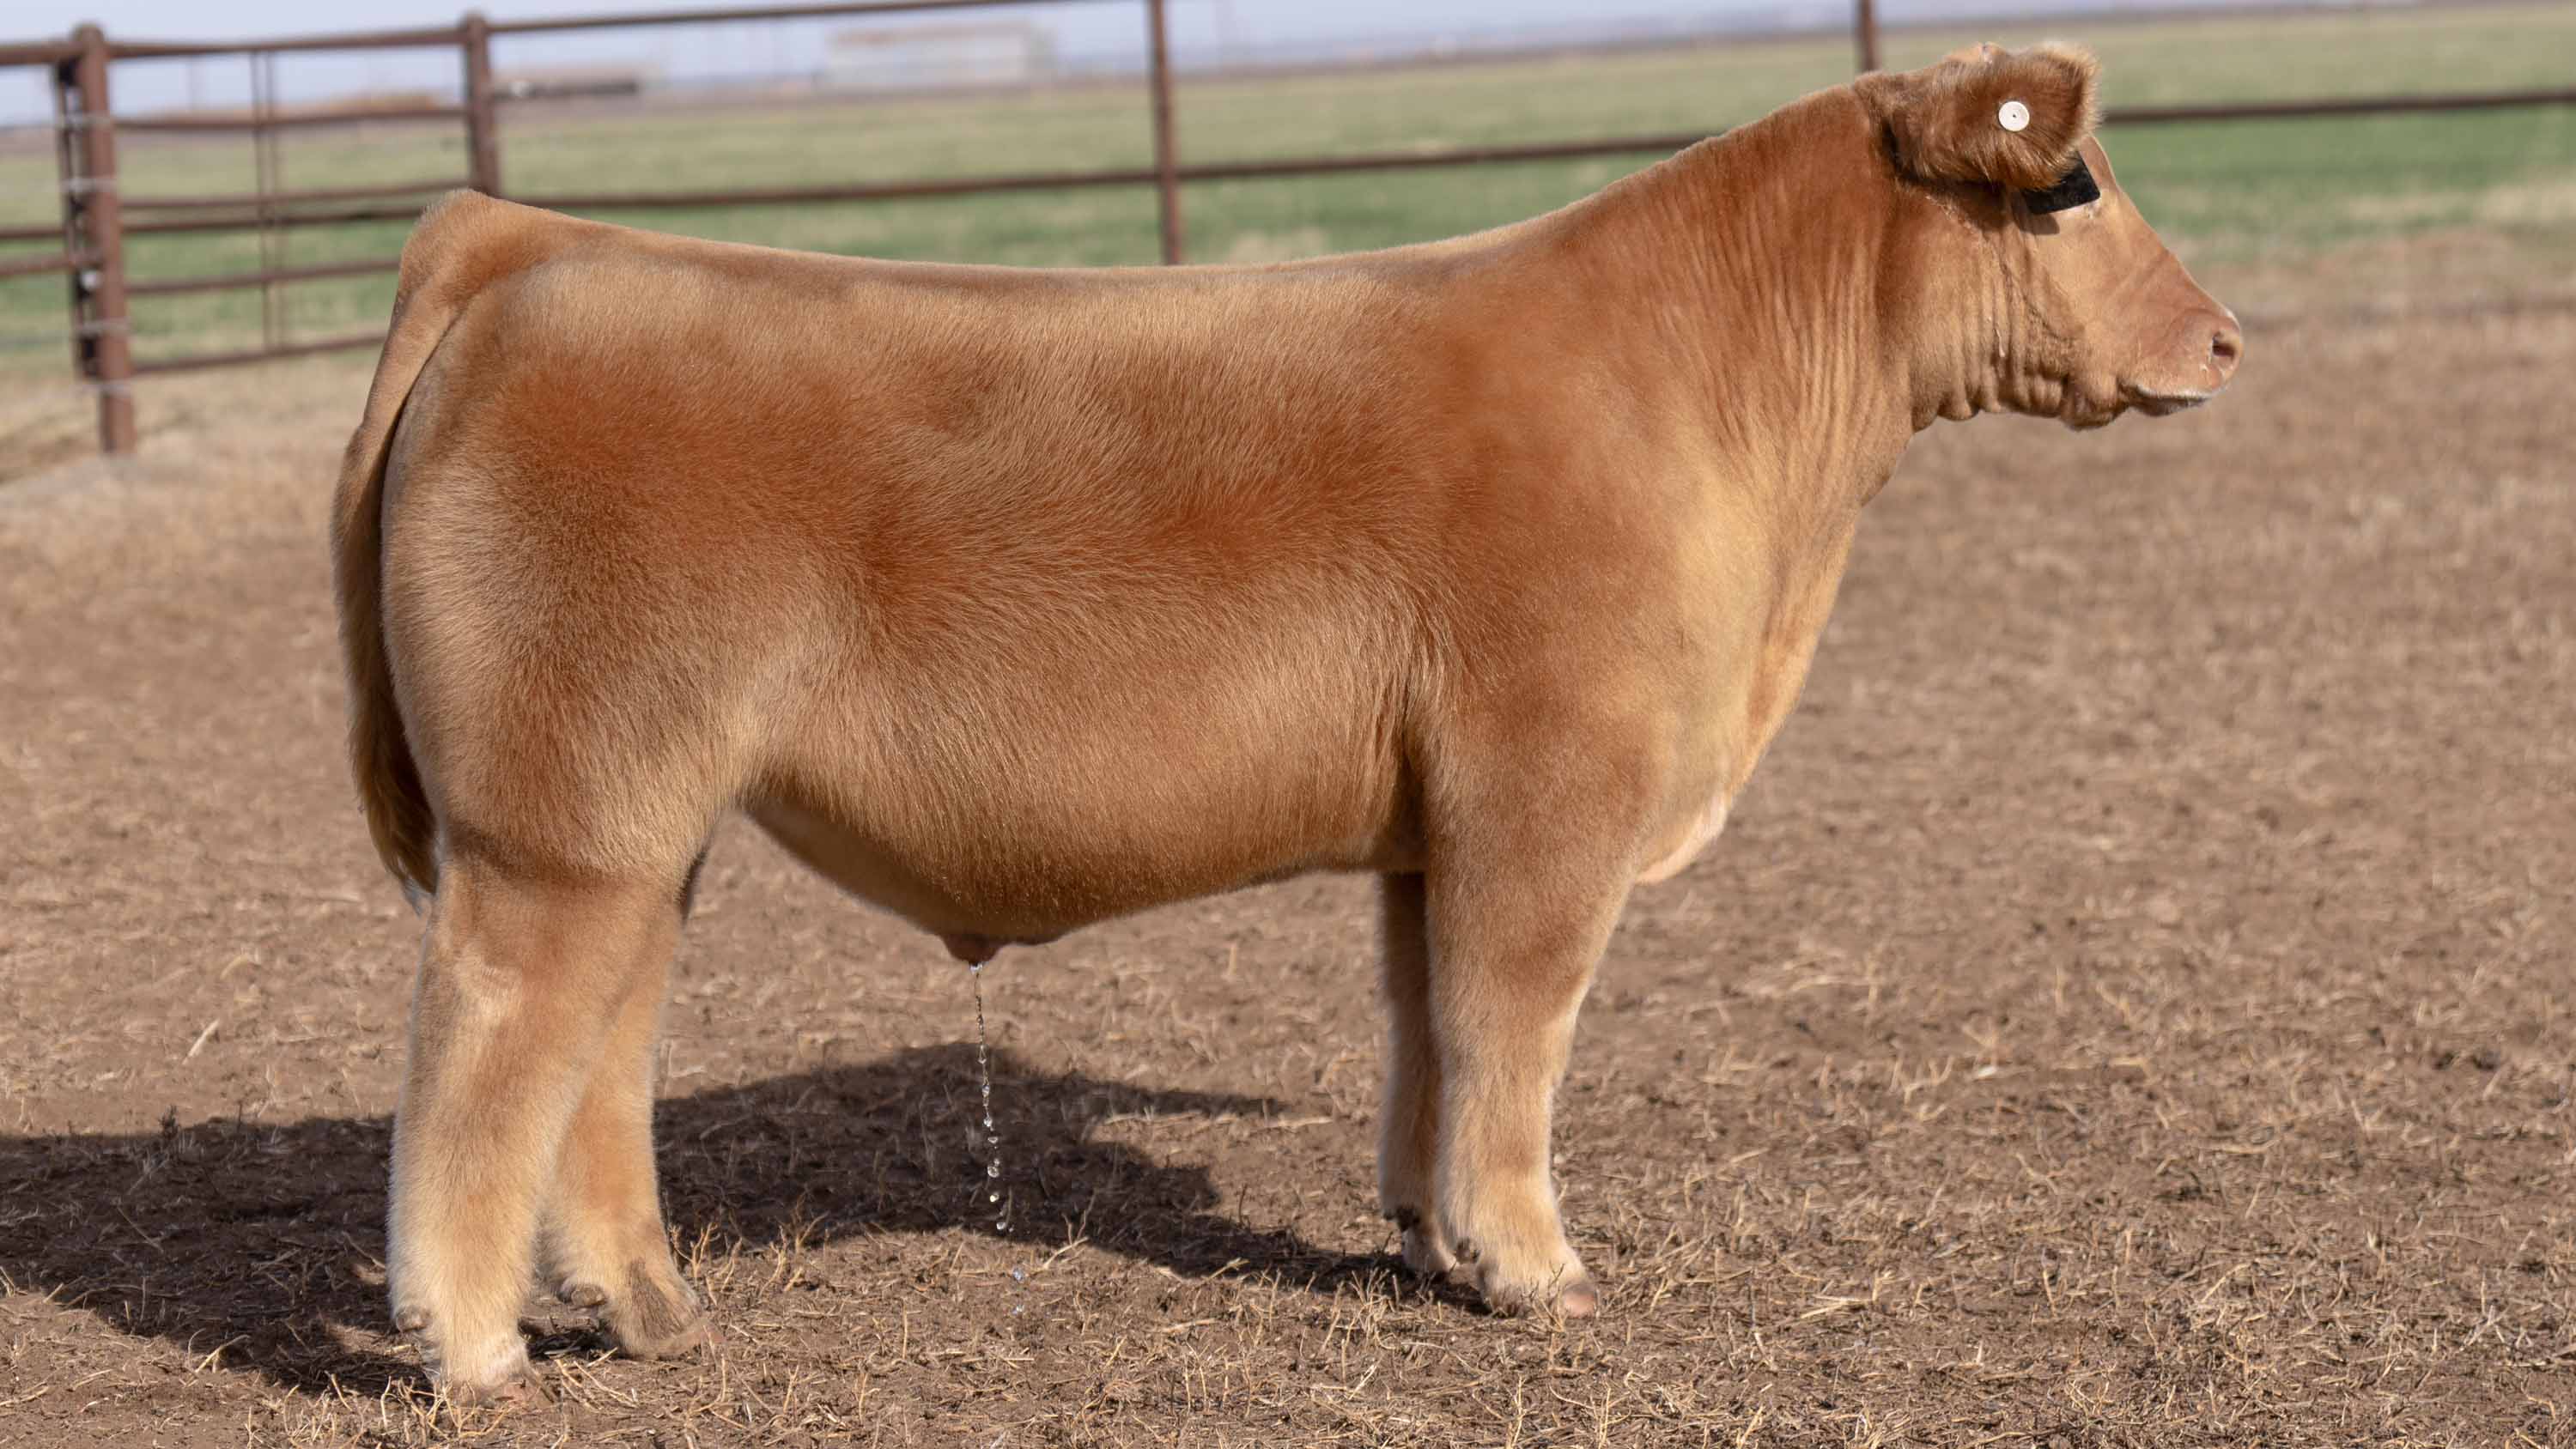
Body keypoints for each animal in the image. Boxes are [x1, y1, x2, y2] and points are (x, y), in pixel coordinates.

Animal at [331, 41, 2238, 1403]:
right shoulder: (1547, 795)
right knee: (487, 1049)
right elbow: (1515, 1028)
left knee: (601, 1057)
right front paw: (1535, 1265)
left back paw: (653, 1311)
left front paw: (1429, 1242)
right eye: (2071, 184)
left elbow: (1427, 1031)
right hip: (552, 830)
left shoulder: (1433, 826)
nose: (2224, 340)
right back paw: (477, 1353)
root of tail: (530, 243)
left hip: (643, 835)